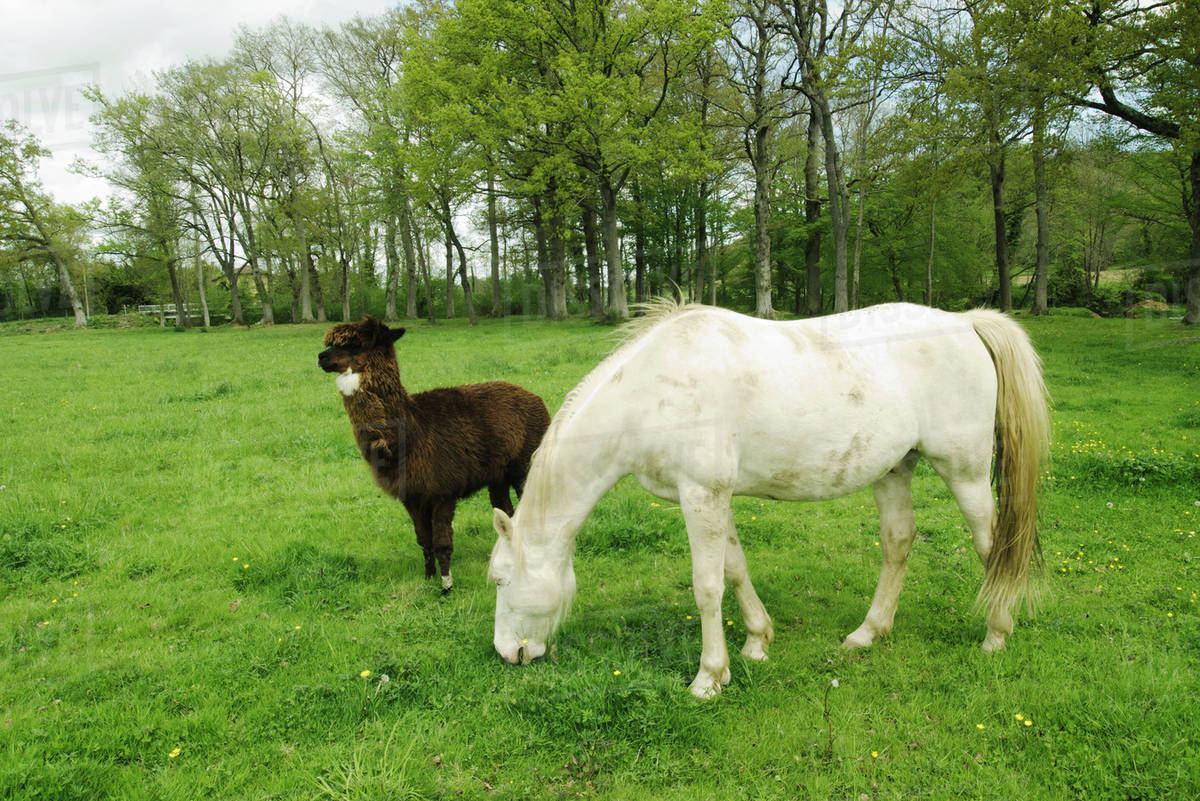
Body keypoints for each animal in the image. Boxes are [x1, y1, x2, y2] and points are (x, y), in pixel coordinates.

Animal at [487, 301, 1049, 698]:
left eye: (500, 580)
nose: (506, 653)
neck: (650, 393)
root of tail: (965, 323)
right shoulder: (714, 499)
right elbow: (735, 570)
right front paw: (756, 643)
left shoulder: (702, 497)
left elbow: (707, 587)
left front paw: (709, 677)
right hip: (894, 468)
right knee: (898, 542)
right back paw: (868, 633)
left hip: (965, 472)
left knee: (993, 545)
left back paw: (997, 634)